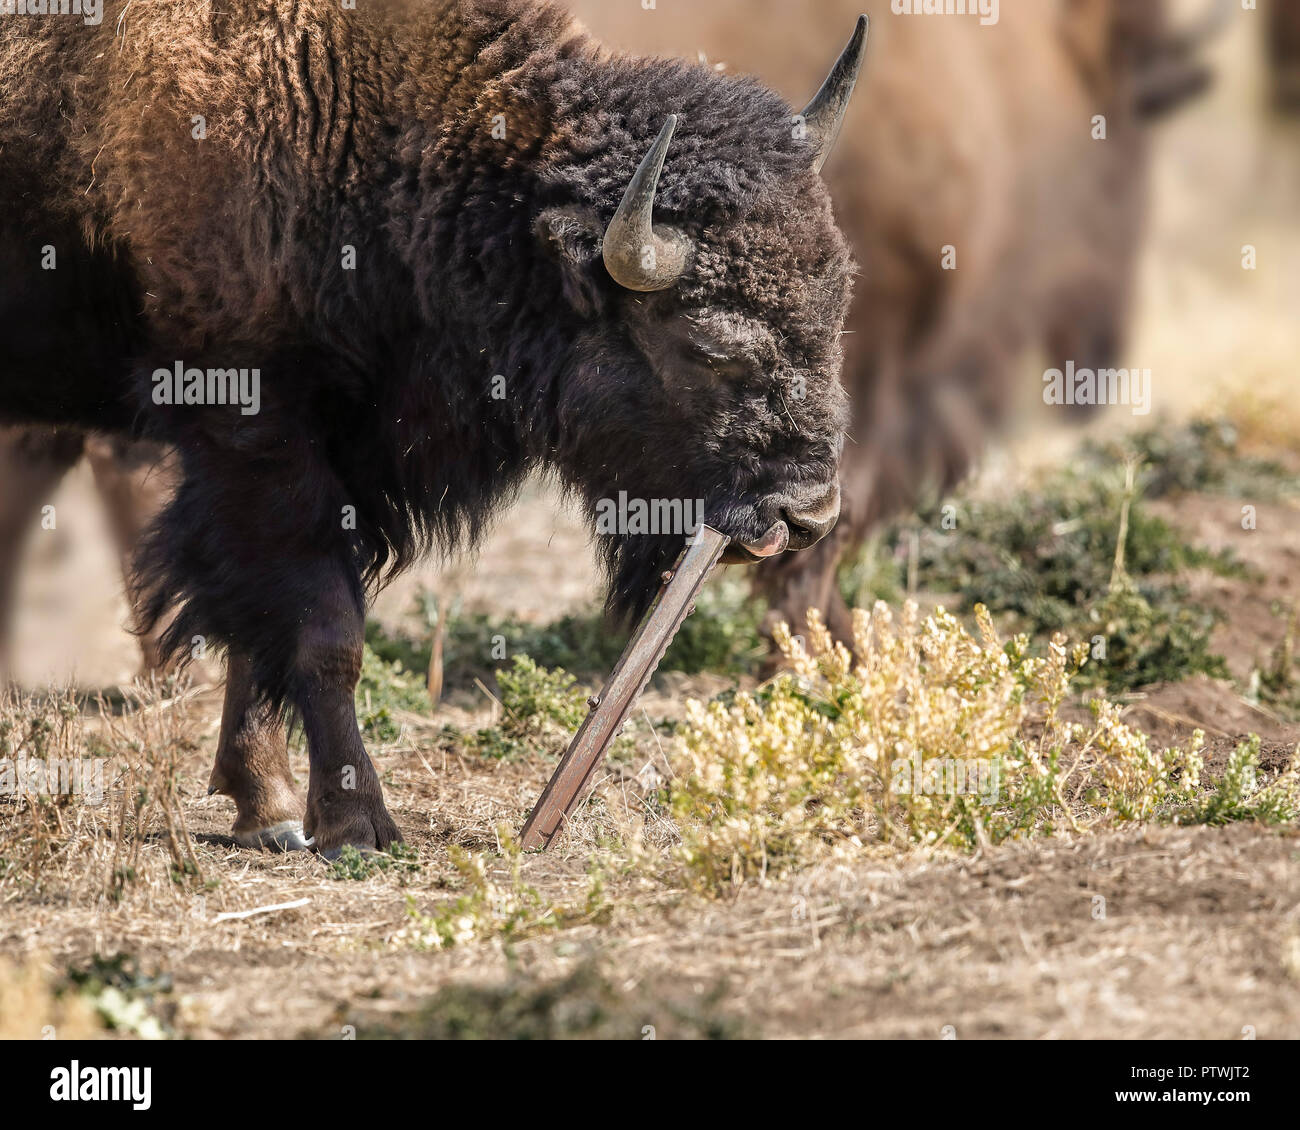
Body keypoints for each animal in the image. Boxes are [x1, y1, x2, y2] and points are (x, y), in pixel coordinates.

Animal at [0, 0, 868, 853]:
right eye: (706, 345)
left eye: (839, 306)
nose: (806, 515)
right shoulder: (256, 441)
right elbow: (325, 633)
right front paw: (354, 824)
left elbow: (262, 637)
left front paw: (268, 806)